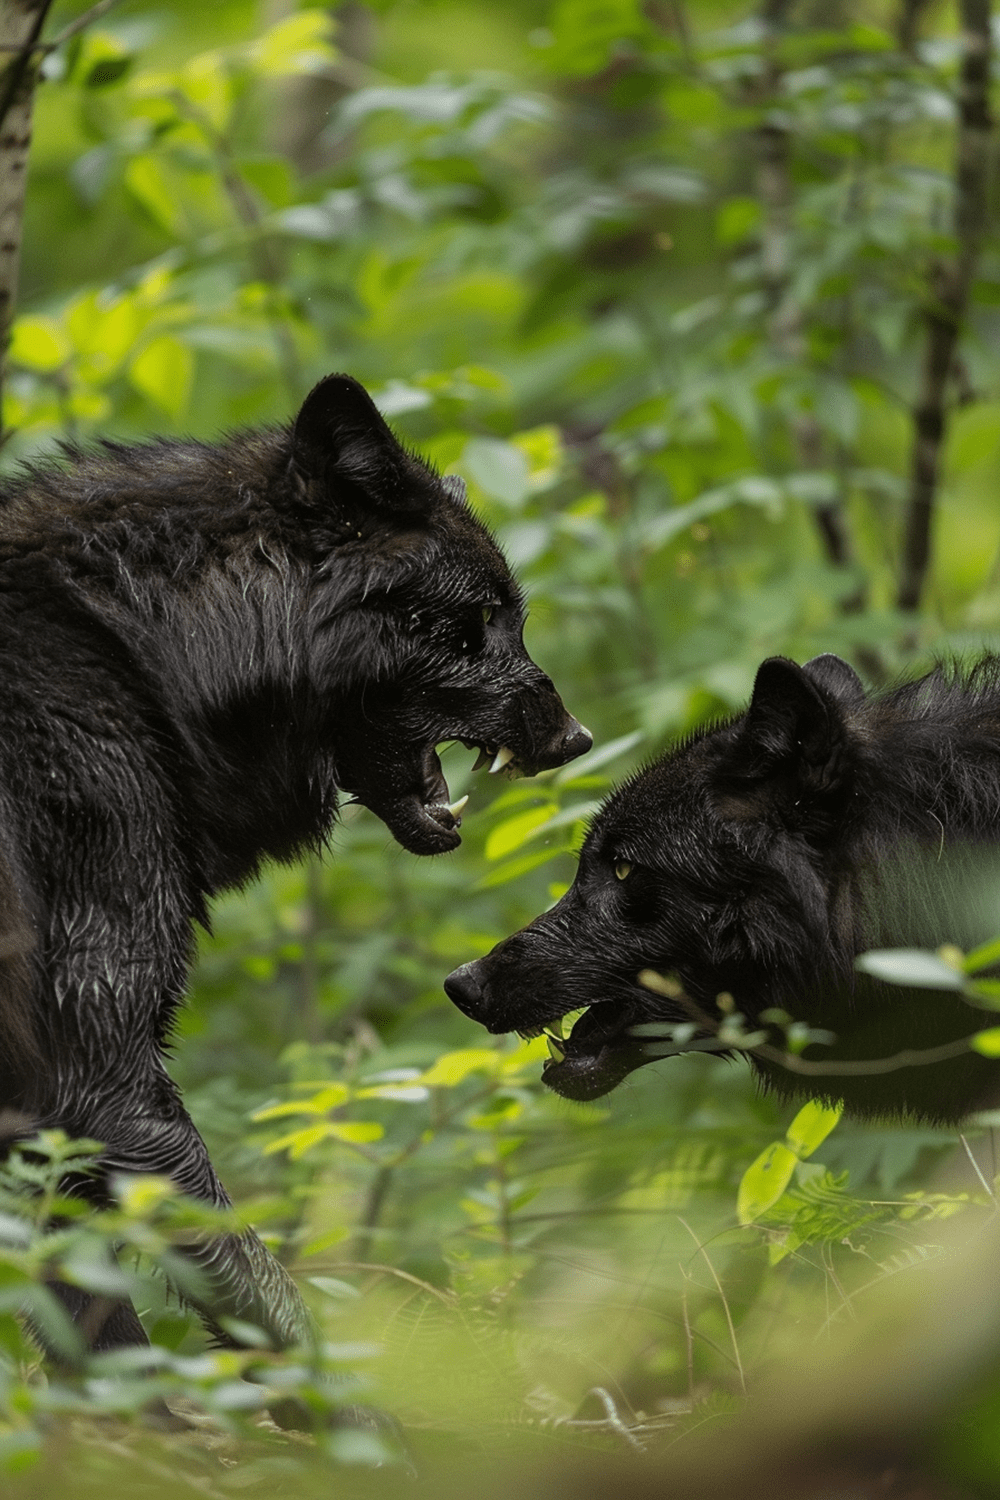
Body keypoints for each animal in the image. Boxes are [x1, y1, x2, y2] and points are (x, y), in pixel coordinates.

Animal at [0, 372, 589, 1353]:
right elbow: (261, 1309)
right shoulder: (100, 1078)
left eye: (515, 617)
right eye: (477, 621)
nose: (576, 738)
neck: (140, 650)